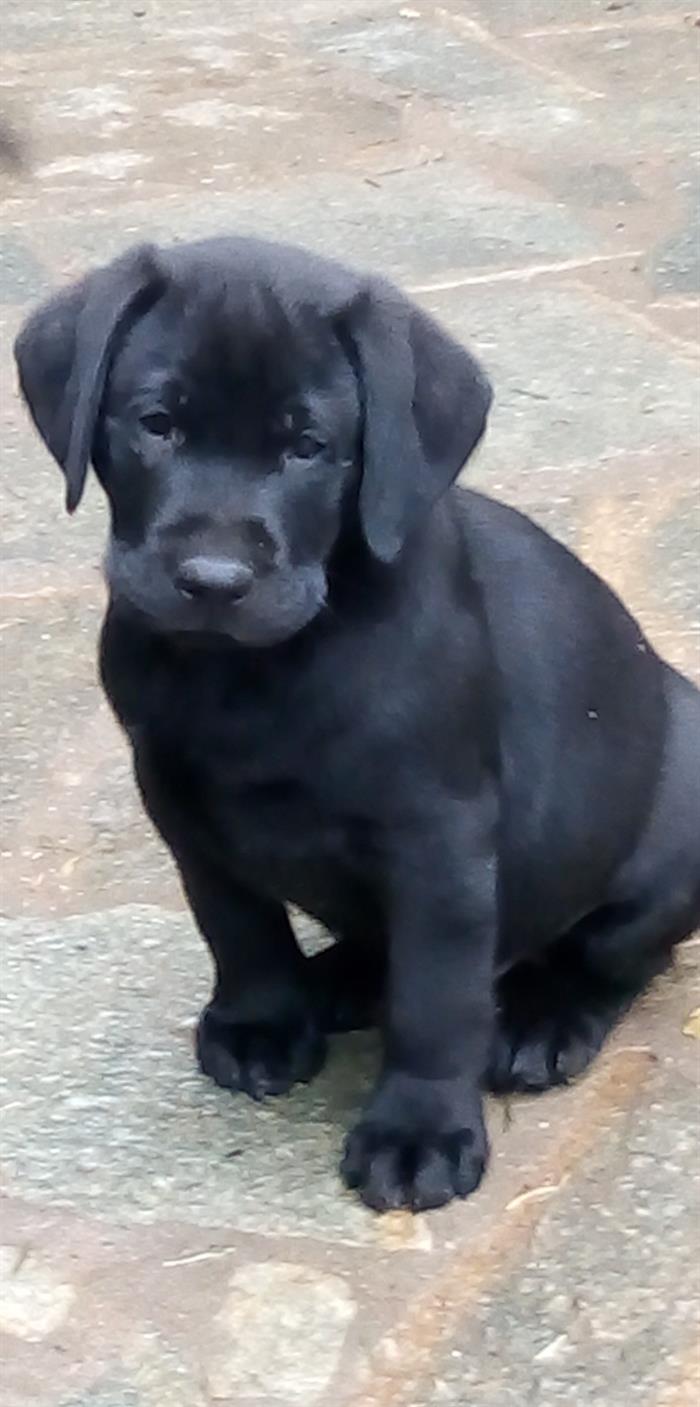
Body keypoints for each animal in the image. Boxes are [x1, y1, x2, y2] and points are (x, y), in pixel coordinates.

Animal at [16, 239, 700, 1210]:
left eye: (309, 447)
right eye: (156, 424)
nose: (214, 579)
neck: (253, 674)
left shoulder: (439, 842)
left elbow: (436, 998)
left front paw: (420, 1130)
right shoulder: (181, 806)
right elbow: (238, 926)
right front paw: (263, 1020)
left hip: (663, 846)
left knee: (616, 954)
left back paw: (543, 1015)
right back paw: (335, 977)